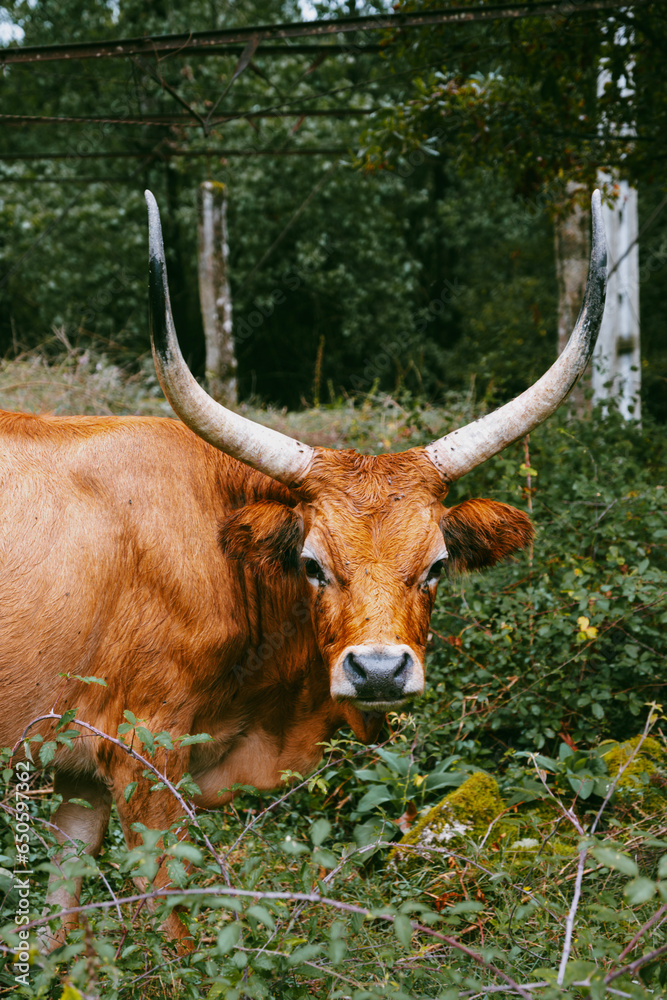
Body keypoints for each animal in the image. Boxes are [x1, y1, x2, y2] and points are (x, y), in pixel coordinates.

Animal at [0, 190, 606, 950]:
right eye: (312, 565)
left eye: (436, 564)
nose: (378, 671)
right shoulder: (145, 754)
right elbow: (167, 921)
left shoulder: (77, 774)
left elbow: (58, 919)